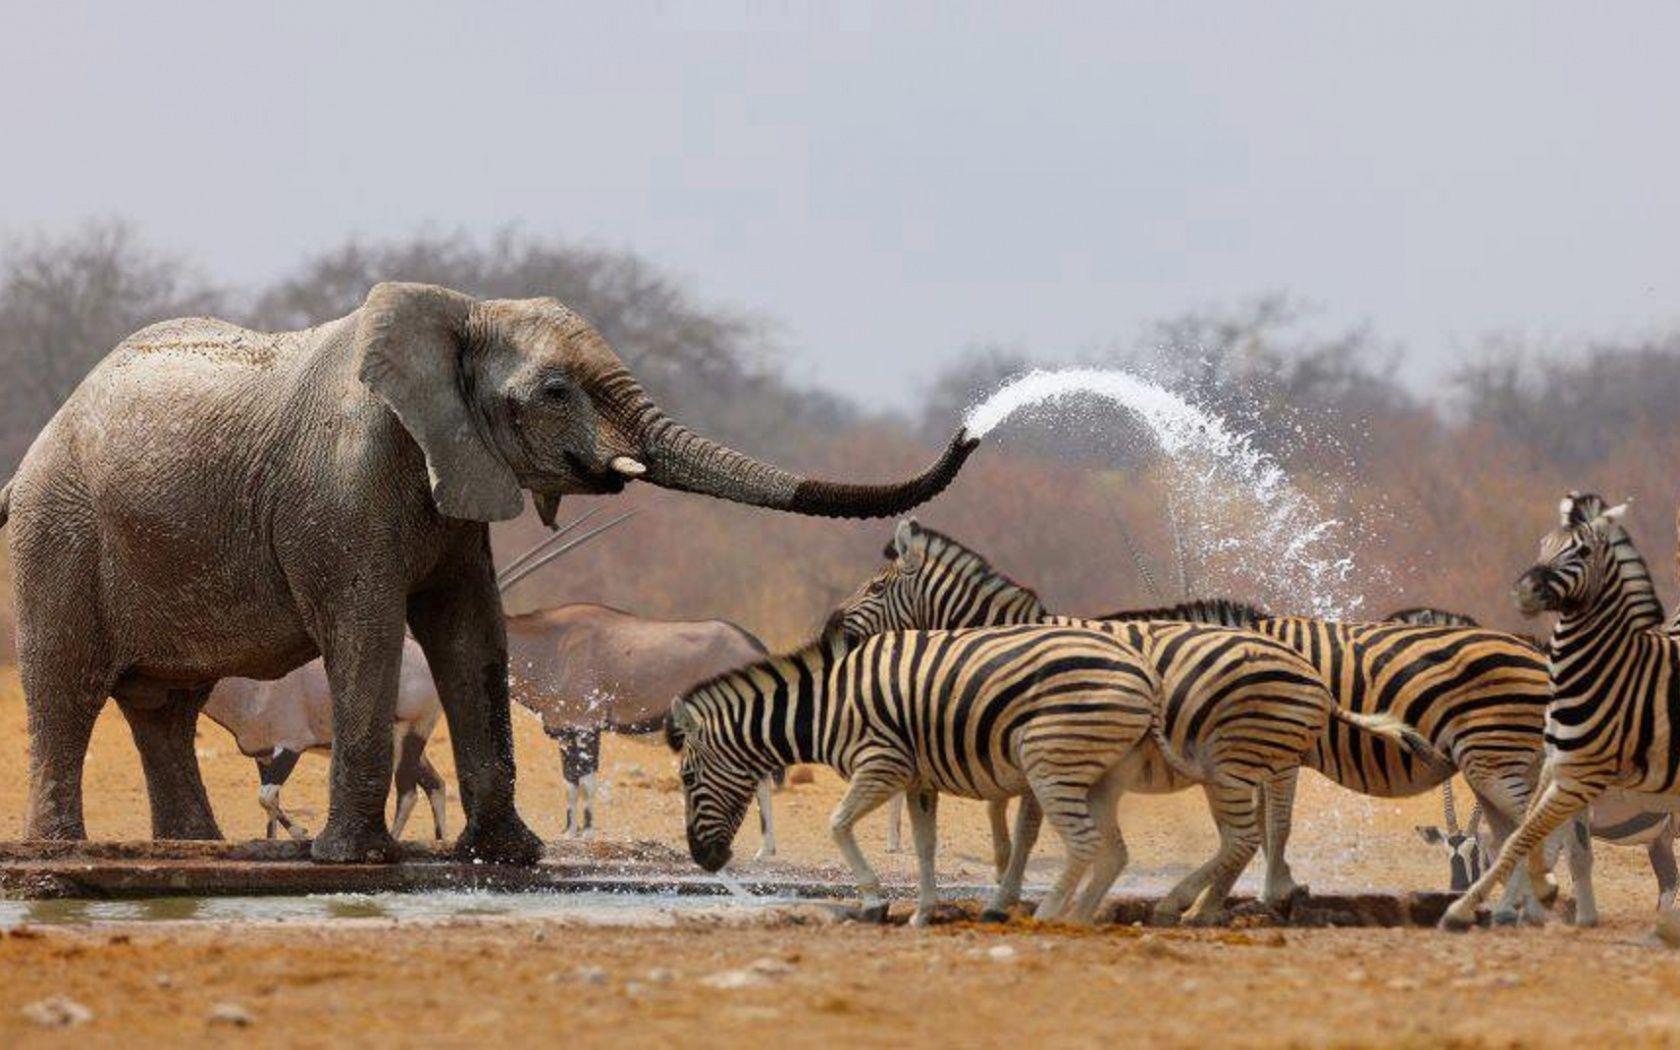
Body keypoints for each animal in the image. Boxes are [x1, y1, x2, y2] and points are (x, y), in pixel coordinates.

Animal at [0, 281, 976, 864]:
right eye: (556, 392)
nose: (971, 429)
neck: (459, 316)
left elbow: (471, 635)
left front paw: (510, 856)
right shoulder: (342, 489)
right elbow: (368, 631)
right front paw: (354, 863)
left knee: (164, 705)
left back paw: (195, 854)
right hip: (58, 533)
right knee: (68, 687)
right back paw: (62, 857)